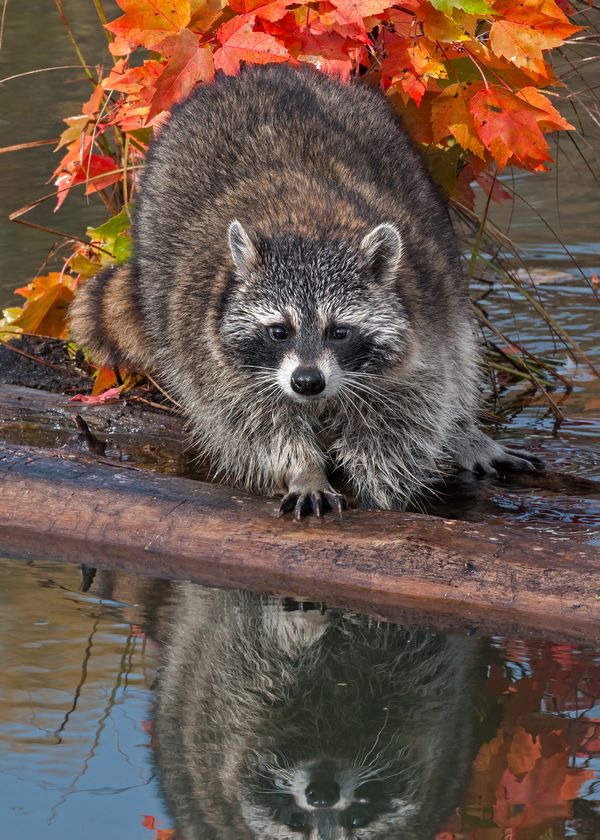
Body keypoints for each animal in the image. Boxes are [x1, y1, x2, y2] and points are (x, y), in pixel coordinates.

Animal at [68, 64, 540, 512]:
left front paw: (383, 496)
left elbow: (400, 424)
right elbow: (256, 424)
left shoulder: (418, 332)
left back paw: (463, 432)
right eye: (280, 331)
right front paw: (303, 469)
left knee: (460, 357)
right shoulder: (214, 355)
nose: (307, 382)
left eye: (339, 331)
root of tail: (258, 72)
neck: (309, 226)